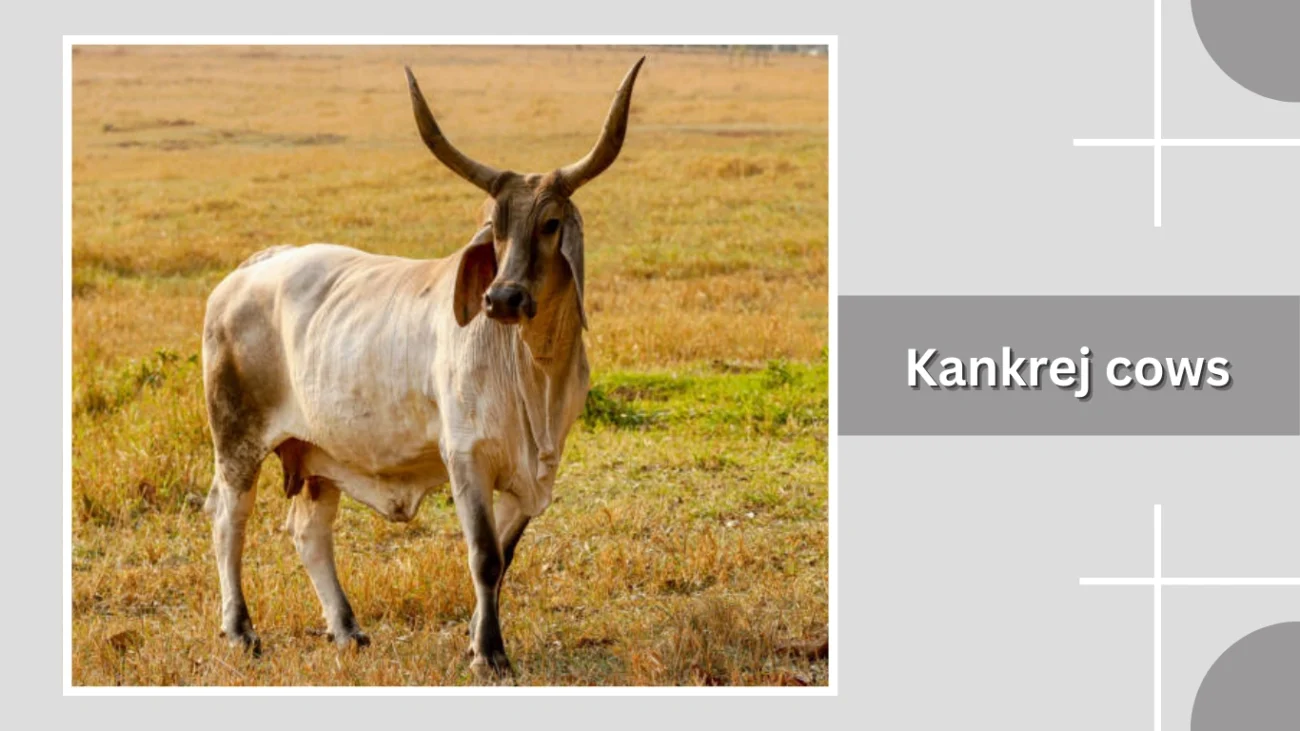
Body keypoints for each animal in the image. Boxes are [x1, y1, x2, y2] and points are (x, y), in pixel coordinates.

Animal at [199, 57, 645, 677]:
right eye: (495, 225)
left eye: (551, 223)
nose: (502, 298)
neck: (533, 367)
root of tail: (250, 269)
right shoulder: (466, 457)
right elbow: (484, 557)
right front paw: (490, 654)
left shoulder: (535, 473)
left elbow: (504, 558)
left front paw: (477, 640)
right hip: (236, 437)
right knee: (228, 519)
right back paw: (241, 631)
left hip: (318, 454)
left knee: (310, 533)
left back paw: (346, 629)